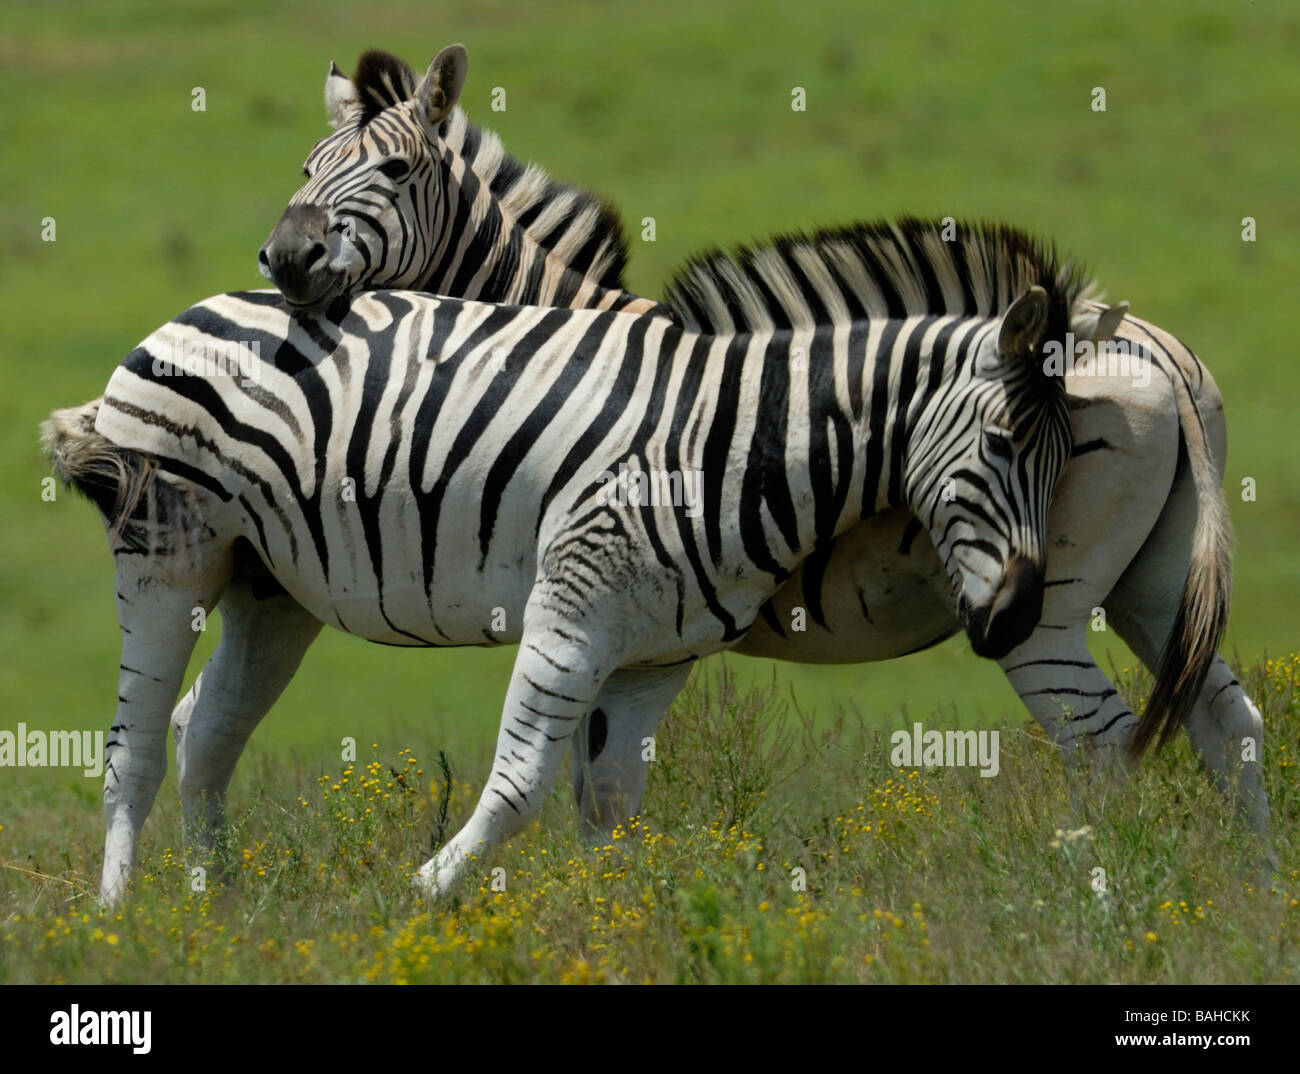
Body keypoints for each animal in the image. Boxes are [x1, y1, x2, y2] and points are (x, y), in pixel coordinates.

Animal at [45, 218, 1121, 902]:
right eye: (1000, 445)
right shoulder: (573, 609)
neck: (733, 444)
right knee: (134, 745)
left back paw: (217, 903)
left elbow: (608, 801)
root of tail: (189, 310)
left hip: (270, 587)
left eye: (1073, 461)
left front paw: (613, 924)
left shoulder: (656, 651)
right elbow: (520, 782)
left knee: (210, 735)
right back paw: (119, 916)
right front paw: (424, 894)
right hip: (167, 556)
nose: (1018, 620)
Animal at [255, 47, 1272, 844]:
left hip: (1047, 611)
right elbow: (595, 778)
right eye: (304, 165)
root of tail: (1159, 354)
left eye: (392, 171)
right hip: (1154, 582)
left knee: (1103, 747)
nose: (285, 257)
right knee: (1232, 723)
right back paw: (1248, 891)